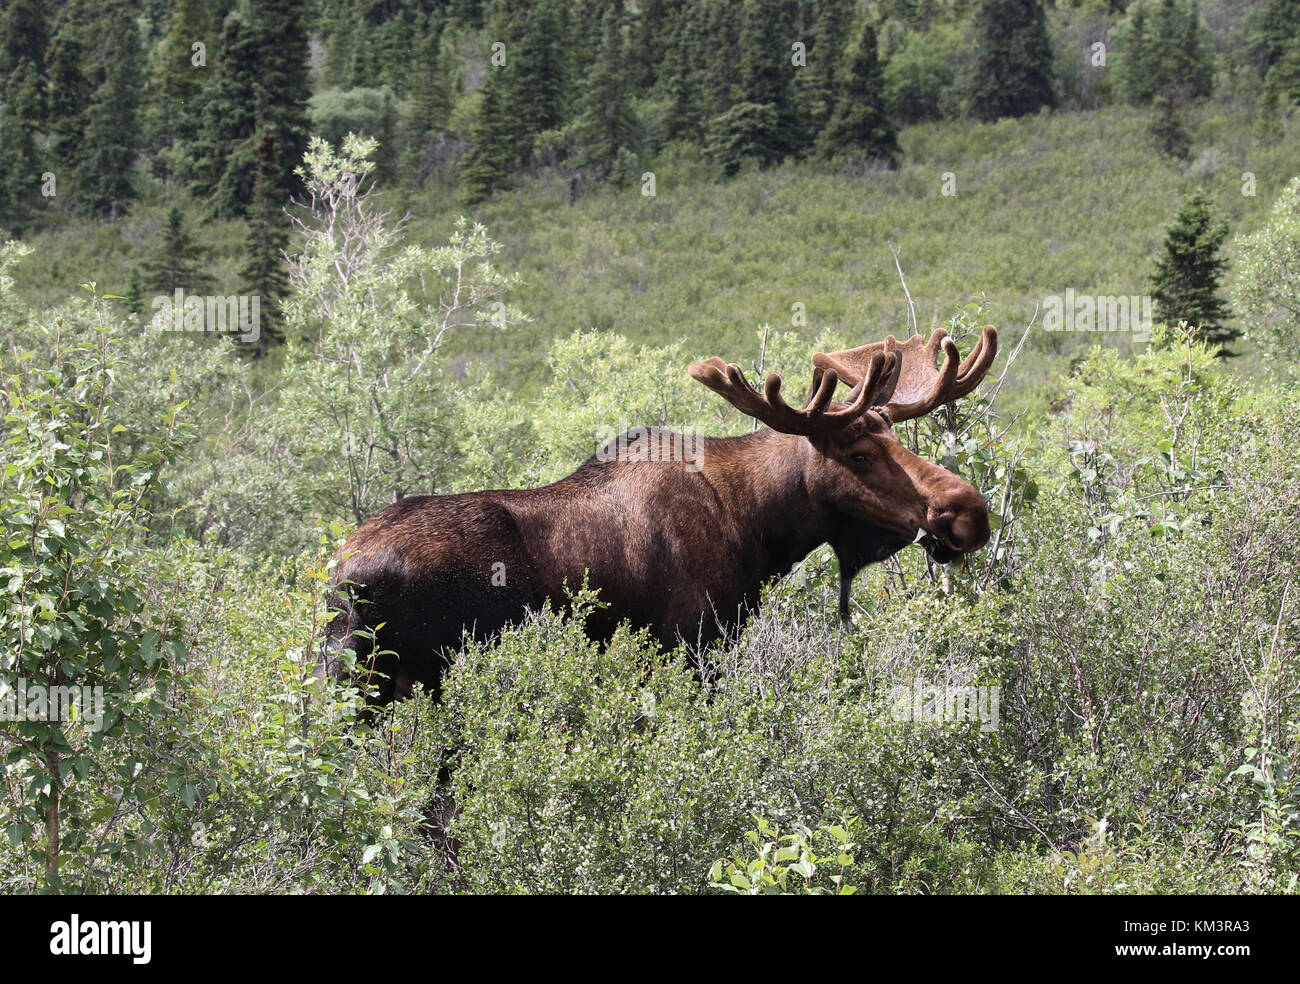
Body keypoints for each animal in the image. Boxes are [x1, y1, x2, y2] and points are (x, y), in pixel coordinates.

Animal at [322, 325, 998, 704]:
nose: (969, 511)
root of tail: (343, 579)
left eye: (897, 437)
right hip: (424, 678)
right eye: (858, 453)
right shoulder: (693, 645)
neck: (759, 530)